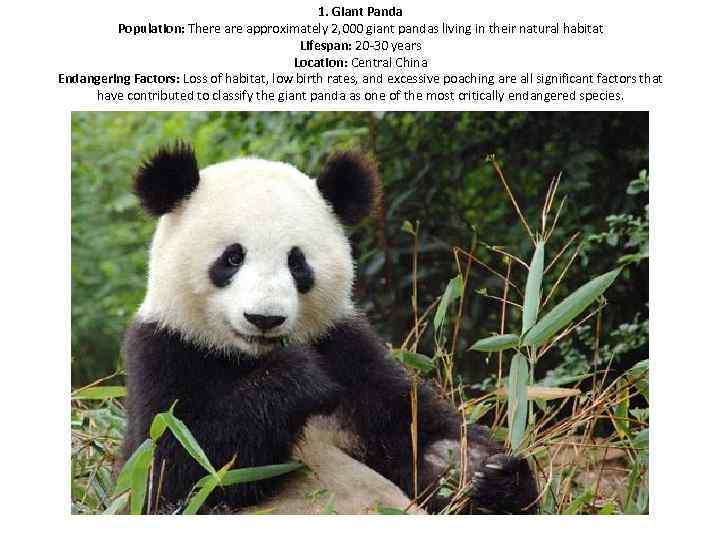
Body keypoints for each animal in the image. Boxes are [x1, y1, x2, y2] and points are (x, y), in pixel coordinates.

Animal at [120, 142, 538, 514]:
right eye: (232, 257)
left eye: (297, 262)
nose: (264, 319)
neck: (250, 358)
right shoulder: (165, 352)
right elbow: (174, 473)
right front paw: (299, 378)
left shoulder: (350, 352)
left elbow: (420, 438)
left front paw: (483, 473)